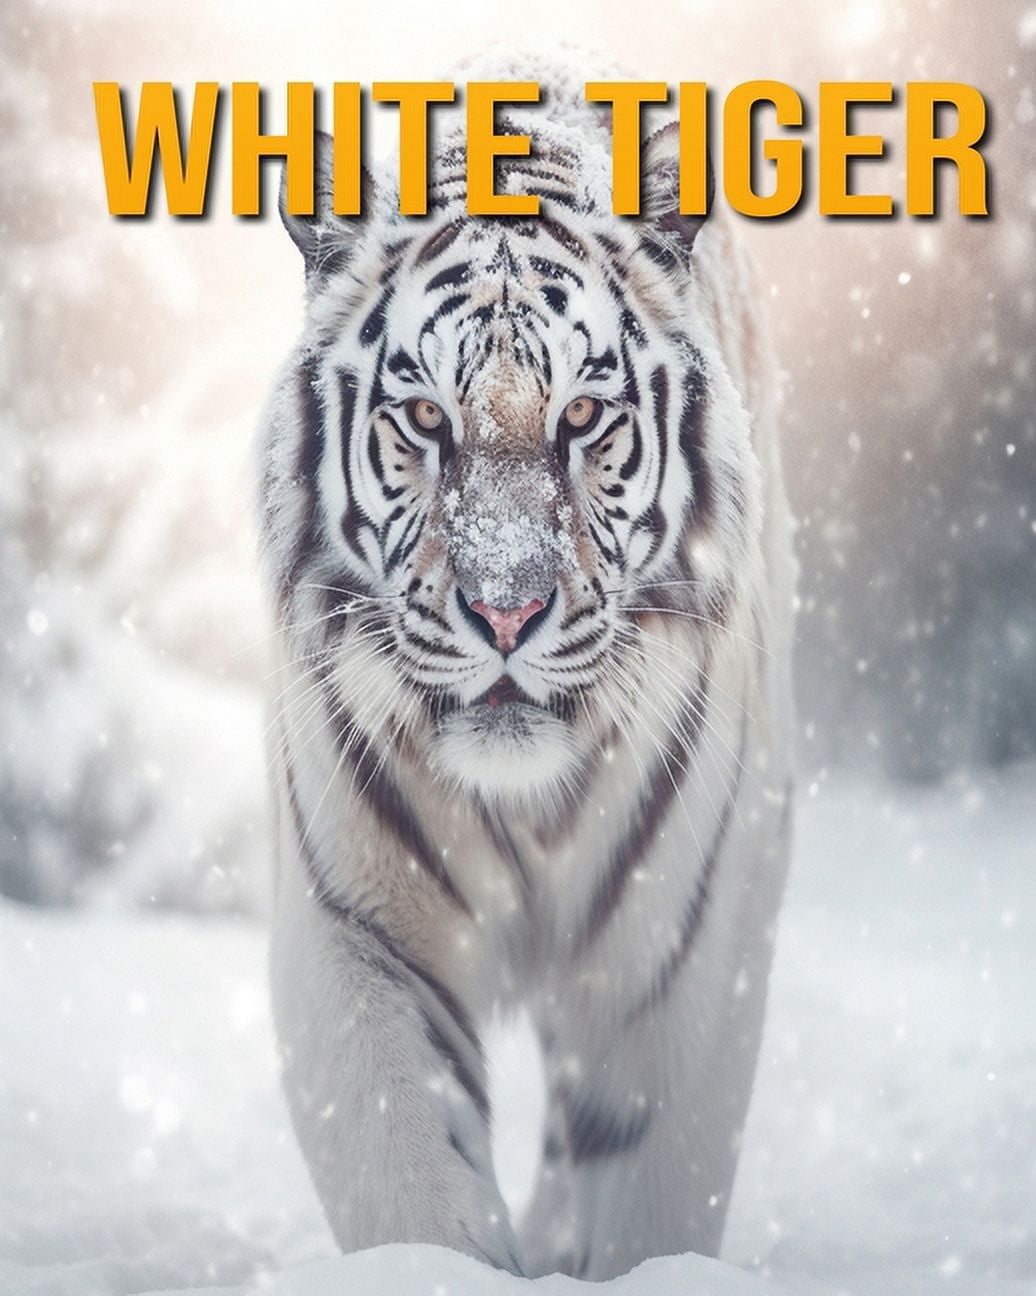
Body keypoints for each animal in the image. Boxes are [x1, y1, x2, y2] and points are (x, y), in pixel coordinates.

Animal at [258, 55, 796, 1283]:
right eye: (423, 417)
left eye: (583, 414)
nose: (506, 610)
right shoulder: (355, 931)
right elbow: (408, 1184)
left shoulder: (680, 957)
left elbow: (647, 1191)